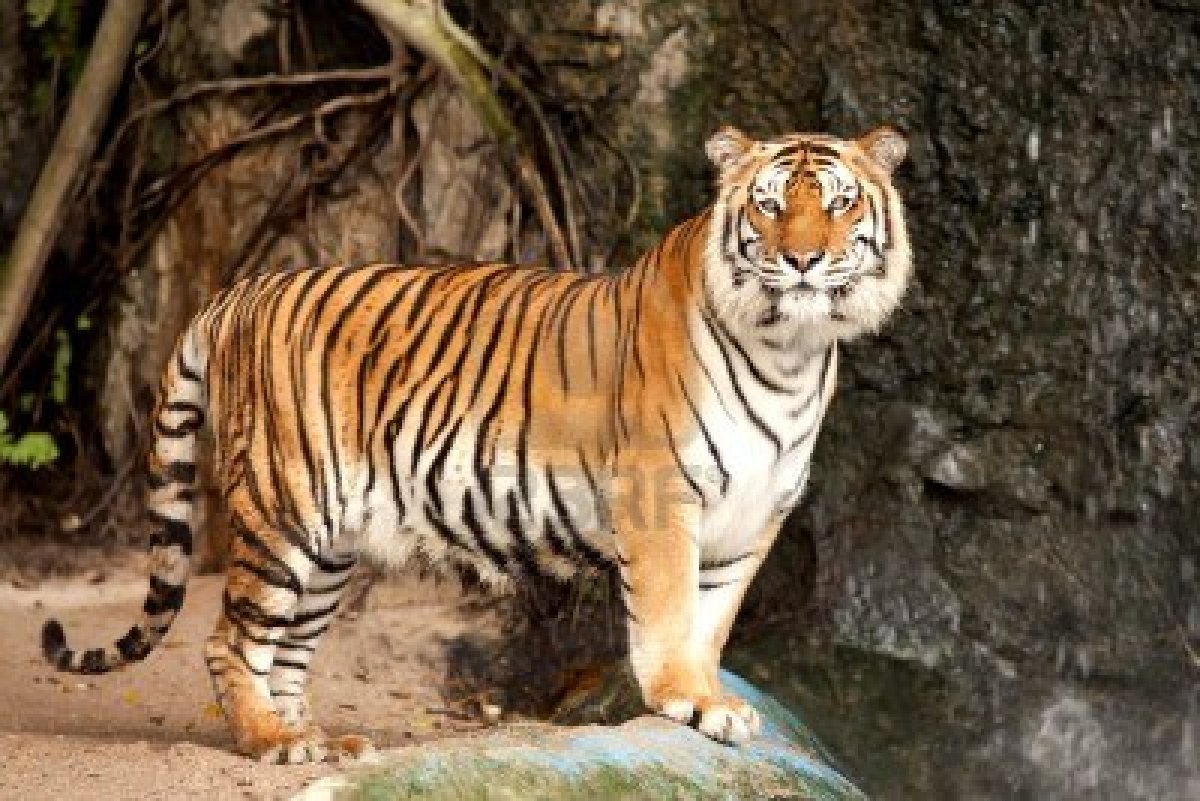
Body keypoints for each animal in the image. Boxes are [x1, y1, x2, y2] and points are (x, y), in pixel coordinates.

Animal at [41, 124, 911, 763]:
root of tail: (238, 291)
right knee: (231, 641)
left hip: (331, 545)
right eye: (769, 205)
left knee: (286, 650)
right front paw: (687, 700)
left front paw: (710, 698)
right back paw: (271, 743)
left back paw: (314, 737)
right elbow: (668, 611)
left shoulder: (756, 514)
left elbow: (712, 619)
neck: (792, 350)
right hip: (283, 508)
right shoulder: (662, 495)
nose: (803, 259)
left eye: (840, 204)